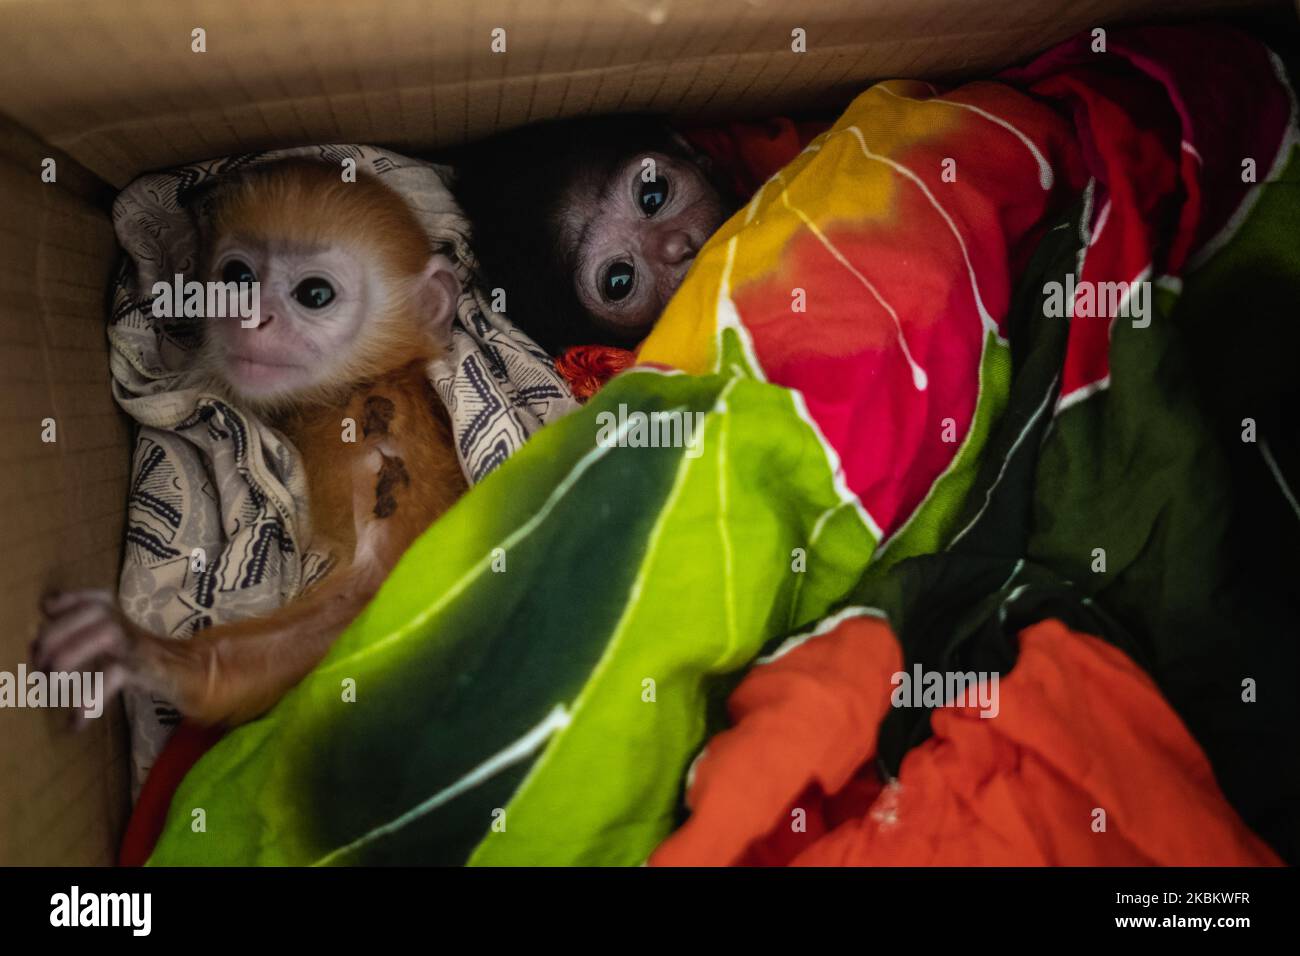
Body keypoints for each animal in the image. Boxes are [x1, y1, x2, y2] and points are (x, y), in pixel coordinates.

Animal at [32, 160, 468, 727]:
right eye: (238, 278)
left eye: (315, 295)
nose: (251, 317)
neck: (337, 398)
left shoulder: (392, 434)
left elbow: (386, 596)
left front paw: (156, 658)